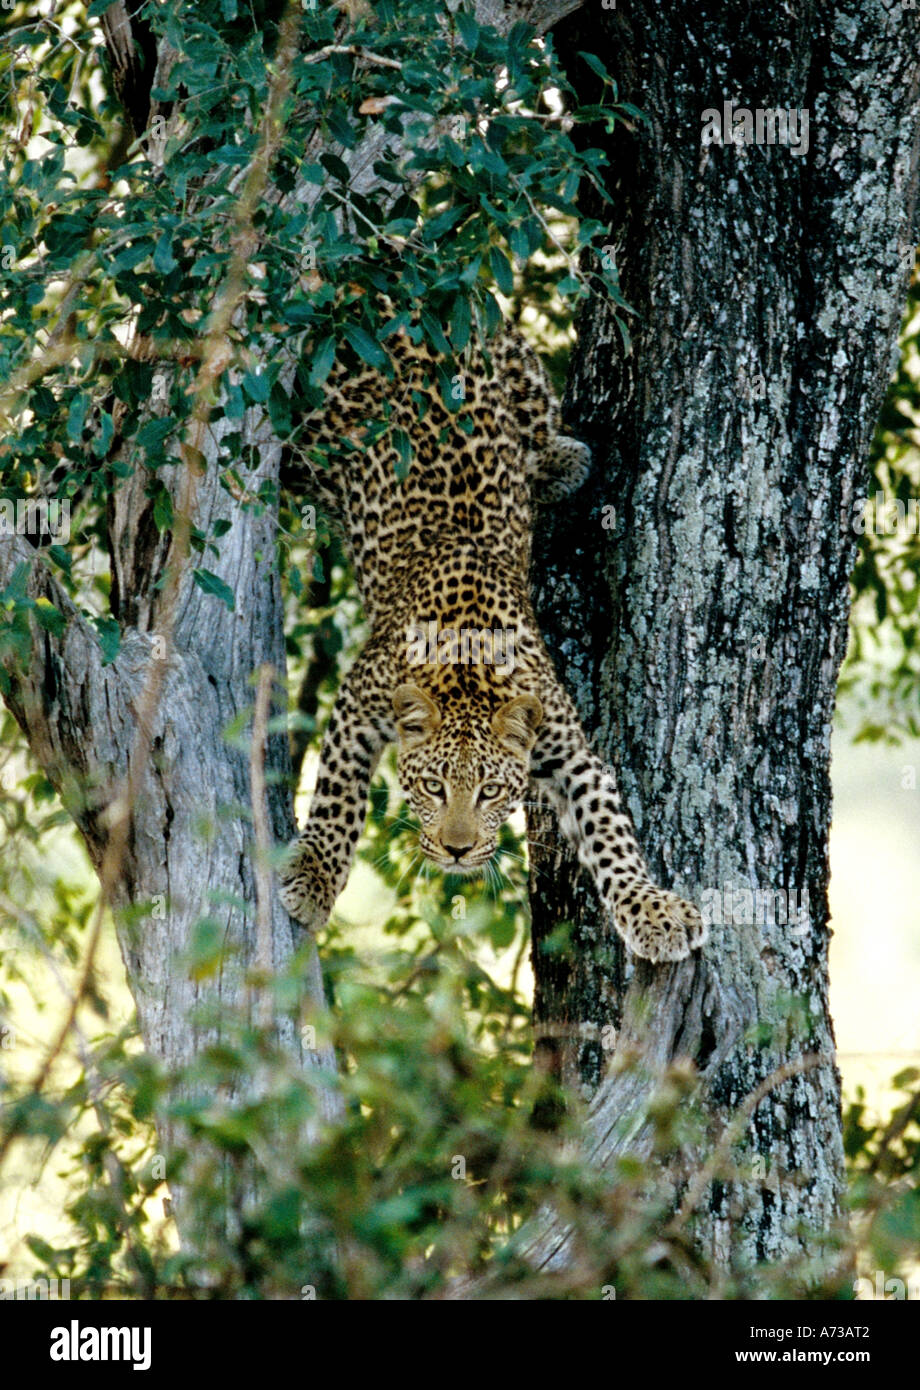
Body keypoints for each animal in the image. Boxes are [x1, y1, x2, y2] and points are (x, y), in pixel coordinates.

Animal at [278, 319, 706, 964]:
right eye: (433, 786)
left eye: (491, 792)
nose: (457, 849)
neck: (467, 663)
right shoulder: (359, 701)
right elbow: (338, 796)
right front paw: (313, 876)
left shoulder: (571, 750)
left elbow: (609, 831)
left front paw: (651, 909)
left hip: (518, 369)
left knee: (539, 424)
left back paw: (561, 460)